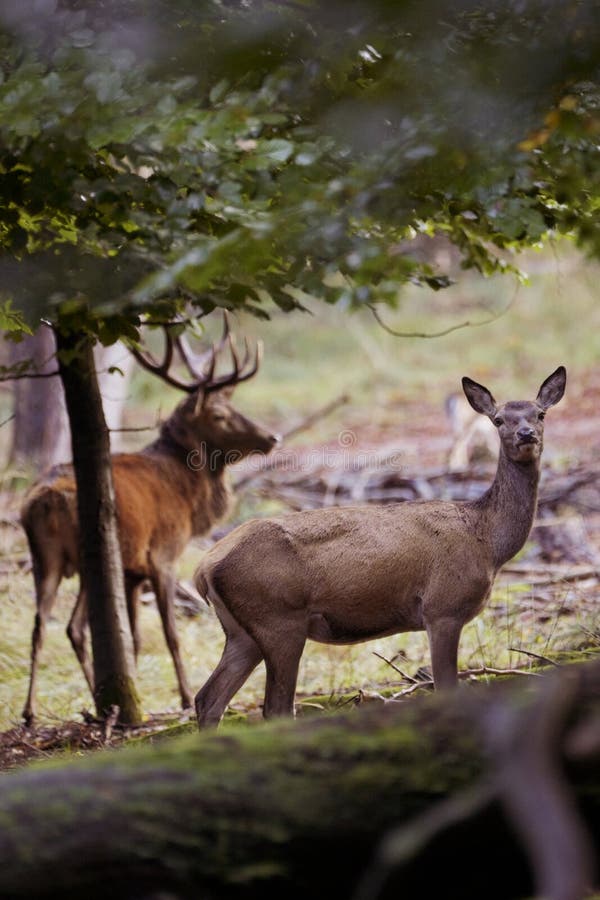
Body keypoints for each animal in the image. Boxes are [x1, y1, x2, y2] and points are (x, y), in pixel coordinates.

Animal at [20, 320, 279, 725]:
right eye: (219, 416)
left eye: (233, 405)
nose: (271, 437)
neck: (188, 495)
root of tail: (43, 500)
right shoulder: (163, 555)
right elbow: (170, 632)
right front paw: (185, 697)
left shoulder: (130, 571)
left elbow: (134, 639)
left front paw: (137, 689)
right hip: (88, 554)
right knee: (73, 627)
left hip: (45, 559)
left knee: (41, 626)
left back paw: (34, 711)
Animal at [193, 367, 566, 727]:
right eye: (498, 419)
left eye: (540, 414)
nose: (526, 435)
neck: (487, 541)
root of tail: (203, 569)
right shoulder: (442, 607)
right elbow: (446, 687)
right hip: (279, 619)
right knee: (276, 707)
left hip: (242, 632)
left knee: (208, 698)